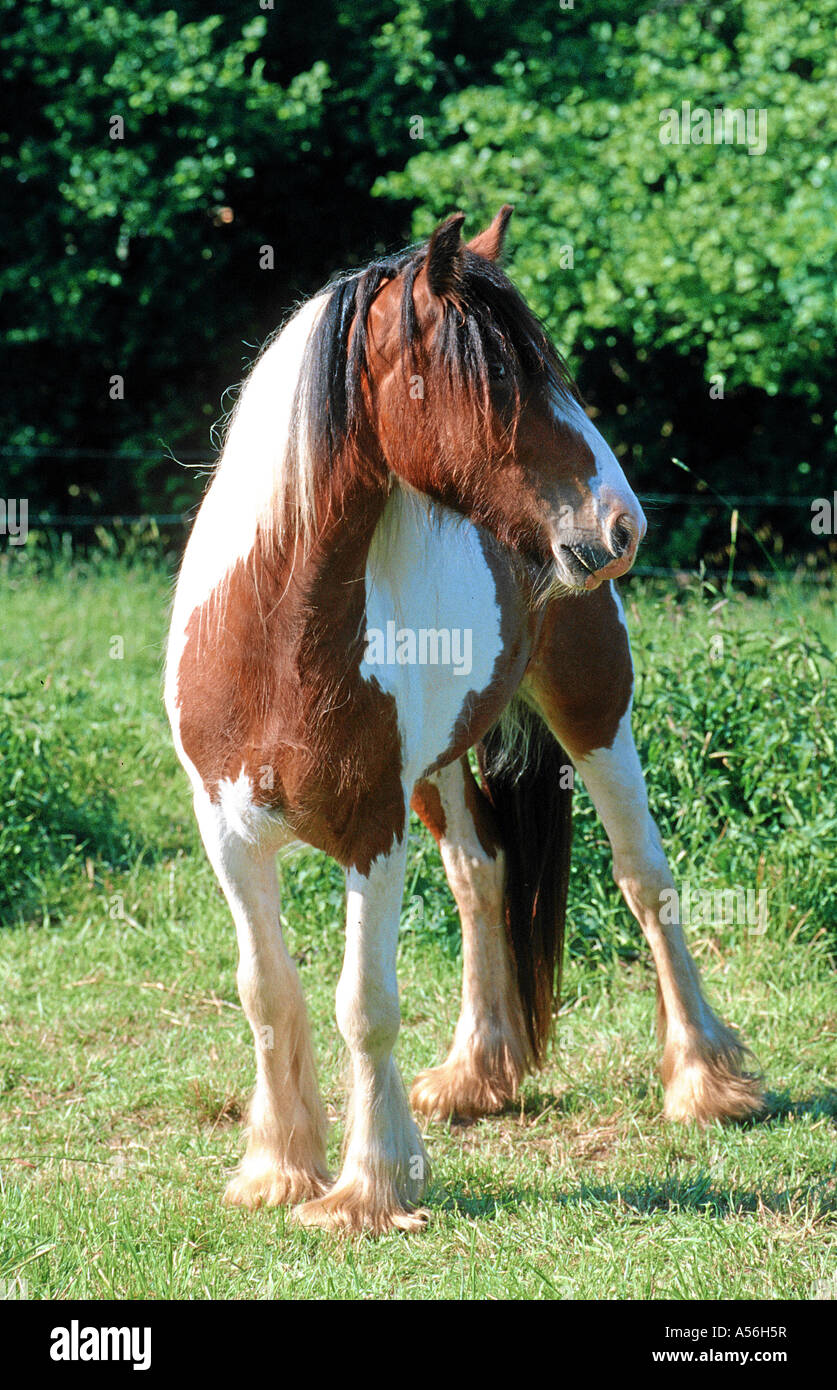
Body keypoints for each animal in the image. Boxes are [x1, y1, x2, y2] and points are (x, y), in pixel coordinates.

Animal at [164, 206, 762, 1234]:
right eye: (500, 378)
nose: (623, 524)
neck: (265, 639)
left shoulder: (370, 831)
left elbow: (363, 1003)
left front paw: (368, 1188)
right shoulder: (227, 836)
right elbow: (267, 995)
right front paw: (278, 1169)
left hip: (594, 714)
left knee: (644, 878)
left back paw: (704, 1081)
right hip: (440, 765)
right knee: (481, 876)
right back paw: (476, 1076)